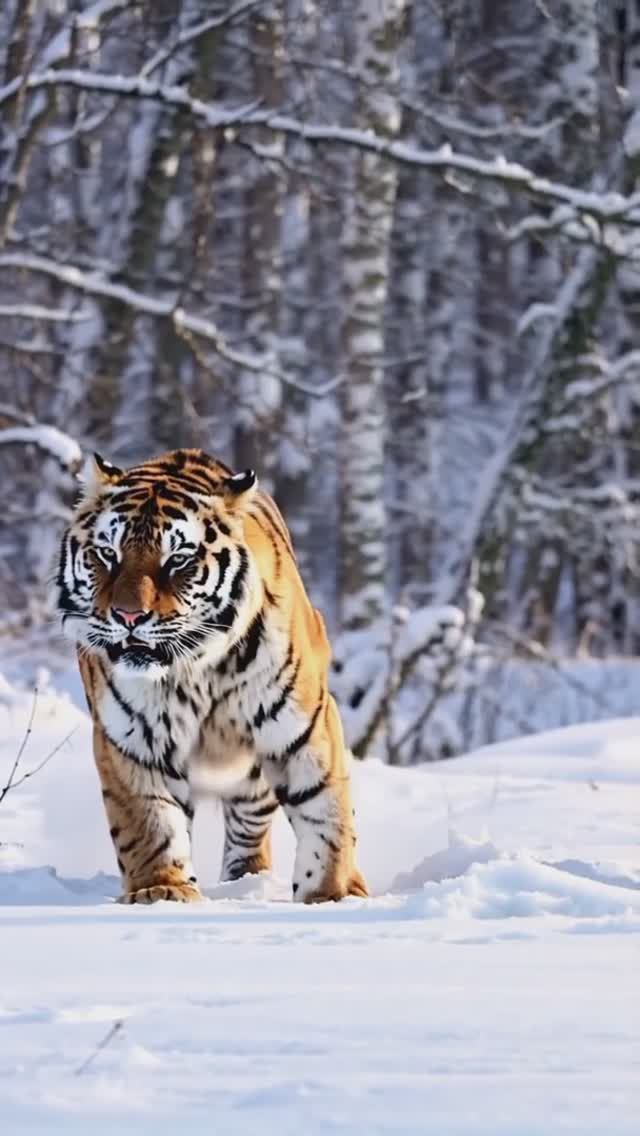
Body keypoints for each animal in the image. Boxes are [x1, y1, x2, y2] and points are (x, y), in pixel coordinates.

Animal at [54, 448, 368, 905]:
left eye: (177, 560)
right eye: (108, 555)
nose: (128, 616)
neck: (196, 669)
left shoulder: (305, 726)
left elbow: (326, 814)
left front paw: (333, 894)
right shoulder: (131, 740)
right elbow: (148, 821)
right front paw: (161, 889)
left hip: (253, 774)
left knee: (250, 825)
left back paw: (246, 881)